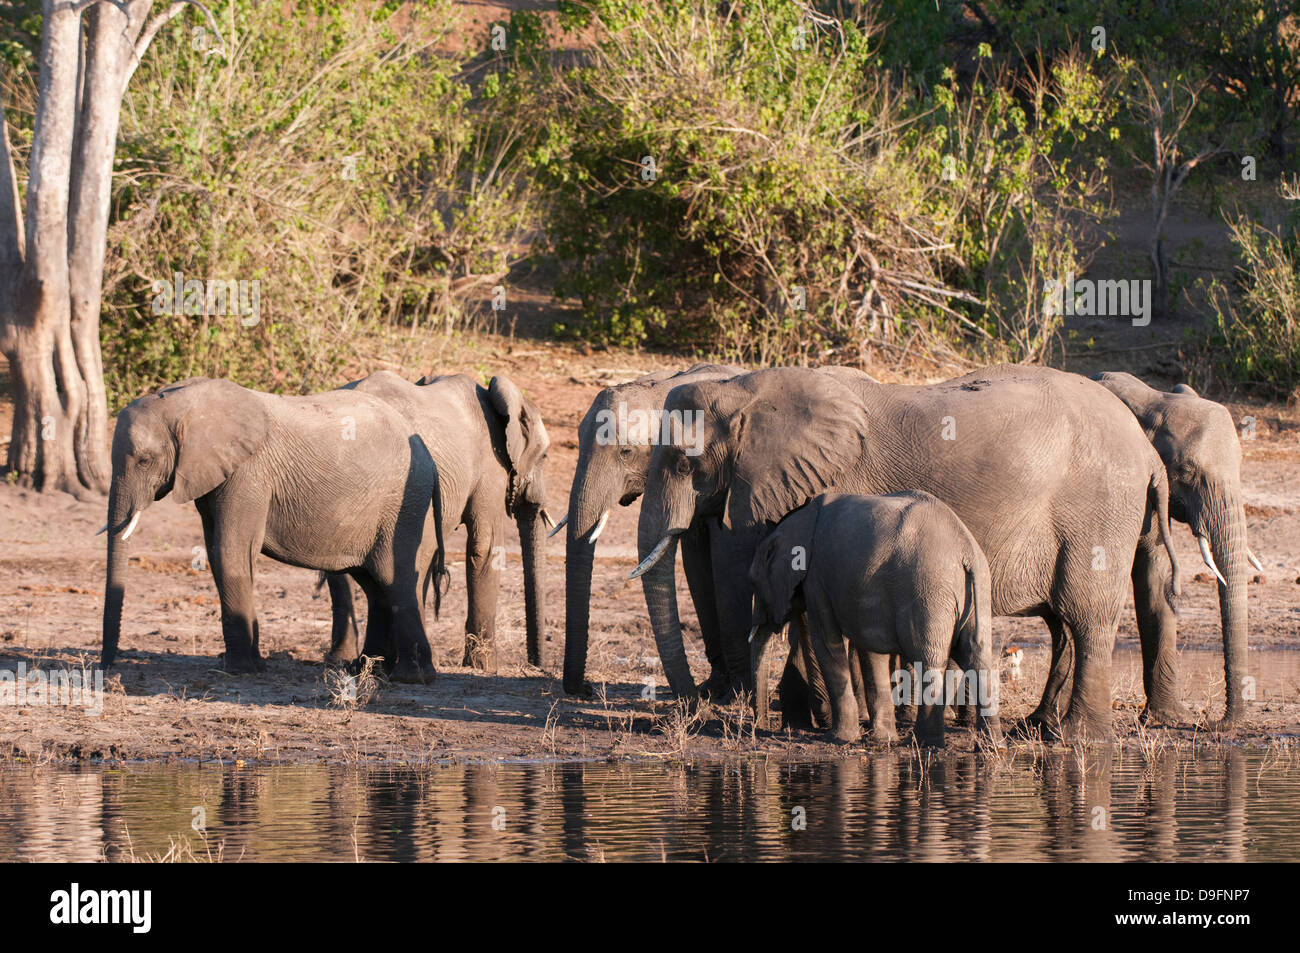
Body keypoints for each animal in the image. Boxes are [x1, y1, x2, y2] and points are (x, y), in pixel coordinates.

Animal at [101, 377, 448, 682]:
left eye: (145, 460)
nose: (106, 668)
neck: (186, 402)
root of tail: (429, 457)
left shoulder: (249, 474)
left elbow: (230, 553)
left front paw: (239, 671)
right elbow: (215, 553)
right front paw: (255, 666)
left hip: (403, 505)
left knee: (395, 577)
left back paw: (413, 678)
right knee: (375, 584)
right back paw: (368, 669)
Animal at [324, 372, 551, 672]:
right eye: (544, 456)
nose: (537, 666)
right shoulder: (490, 466)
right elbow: (485, 546)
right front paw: (484, 668)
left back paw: (347, 660)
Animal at [749, 491, 1001, 747]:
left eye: (754, 581)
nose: (760, 726)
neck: (800, 517)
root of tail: (965, 549)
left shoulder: (817, 580)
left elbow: (826, 641)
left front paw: (839, 738)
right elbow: (870, 648)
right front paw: (883, 739)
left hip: (929, 590)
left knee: (930, 659)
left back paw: (924, 742)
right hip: (976, 591)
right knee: (977, 657)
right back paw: (990, 745)